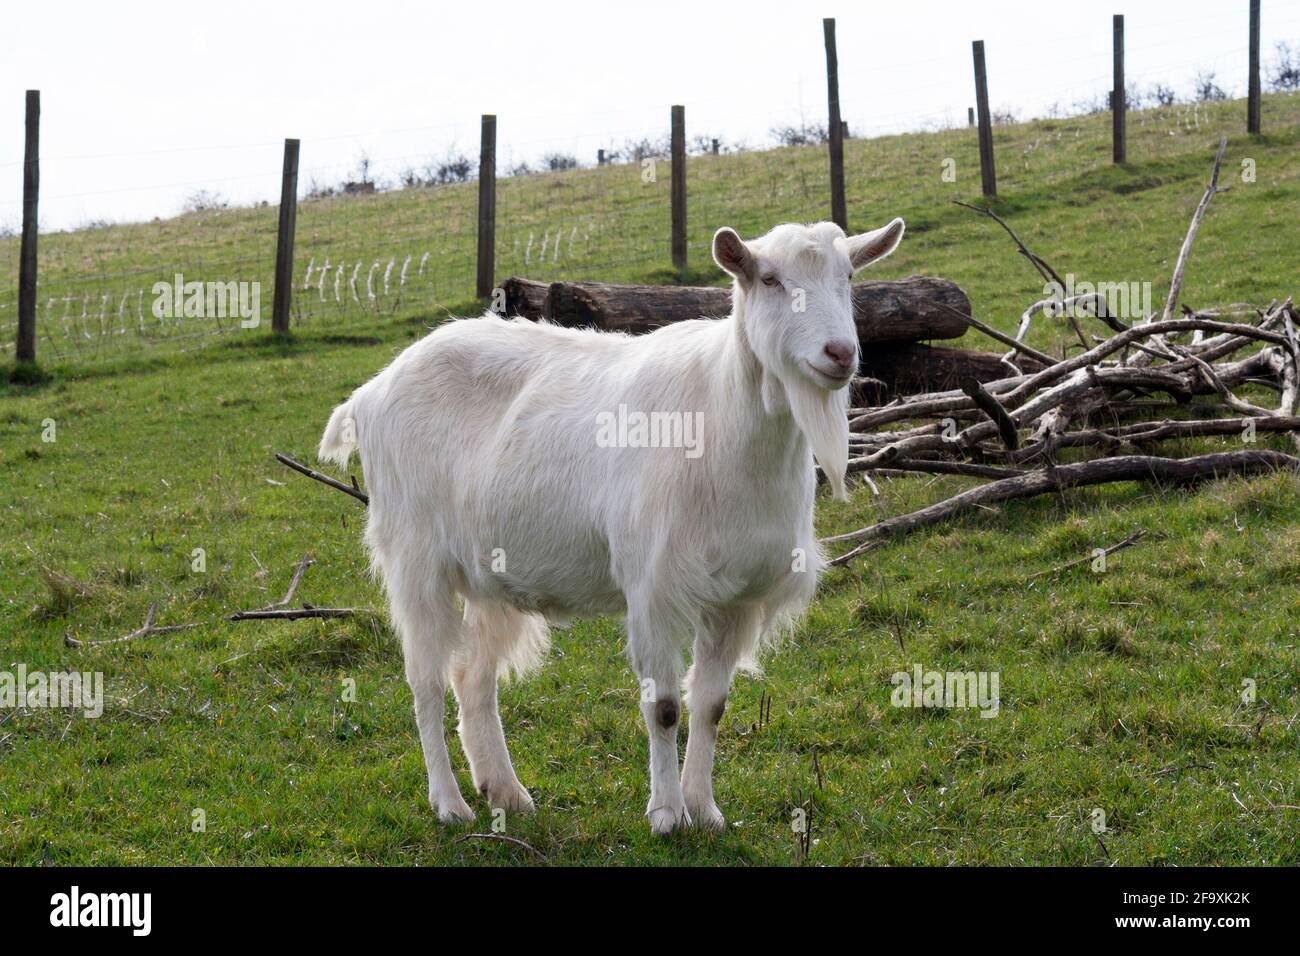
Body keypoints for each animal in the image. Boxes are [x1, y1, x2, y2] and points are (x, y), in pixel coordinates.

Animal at [318, 218, 905, 832]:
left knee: (472, 679)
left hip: (486, 571)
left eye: (848, 276)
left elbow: (711, 706)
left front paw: (705, 809)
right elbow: (665, 708)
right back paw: (450, 804)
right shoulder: (654, 587)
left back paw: (505, 791)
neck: (723, 414)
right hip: (415, 557)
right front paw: (667, 814)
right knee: (426, 683)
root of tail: (370, 392)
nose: (840, 352)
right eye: (769, 279)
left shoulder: (736, 596)